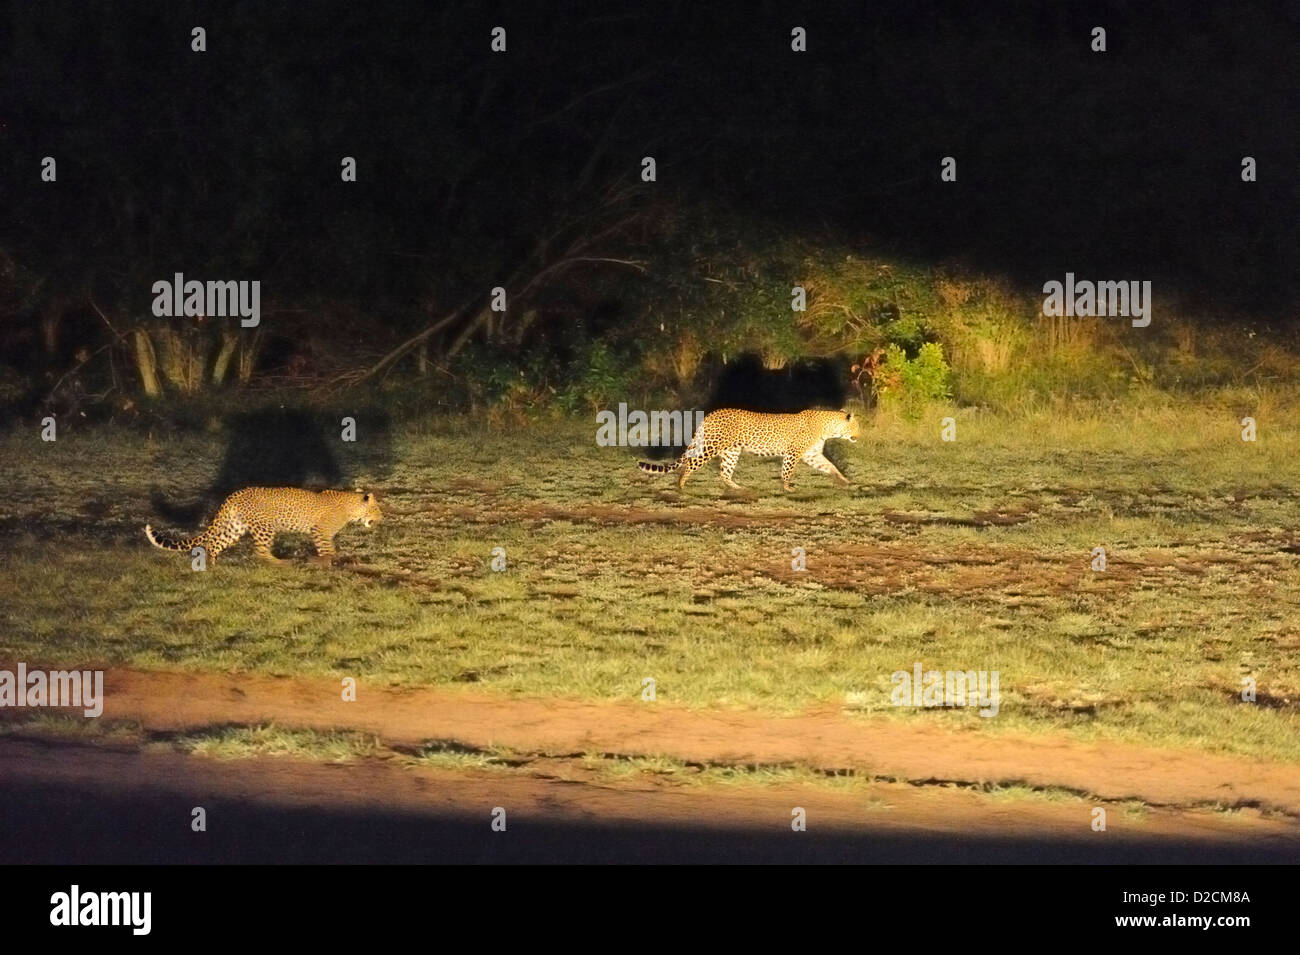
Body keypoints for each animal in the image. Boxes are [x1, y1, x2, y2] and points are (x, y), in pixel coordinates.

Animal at [144, 487, 382, 564]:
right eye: (377, 509)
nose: (381, 518)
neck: (350, 507)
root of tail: (235, 495)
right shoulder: (320, 531)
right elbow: (327, 548)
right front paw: (329, 561)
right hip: (265, 527)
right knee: (259, 552)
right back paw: (280, 563)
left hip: (234, 527)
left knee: (214, 544)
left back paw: (212, 566)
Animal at [638, 408, 860, 491]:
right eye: (855, 427)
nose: (858, 437)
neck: (828, 428)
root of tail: (710, 414)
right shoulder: (793, 453)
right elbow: (787, 471)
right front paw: (787, 487)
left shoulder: (811, 454)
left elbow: (829, 465)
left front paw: (844, 480)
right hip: (710, 446)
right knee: (691, 463)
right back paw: (681, 484)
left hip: (731, 452)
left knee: (724, 473)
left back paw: (737, 487)